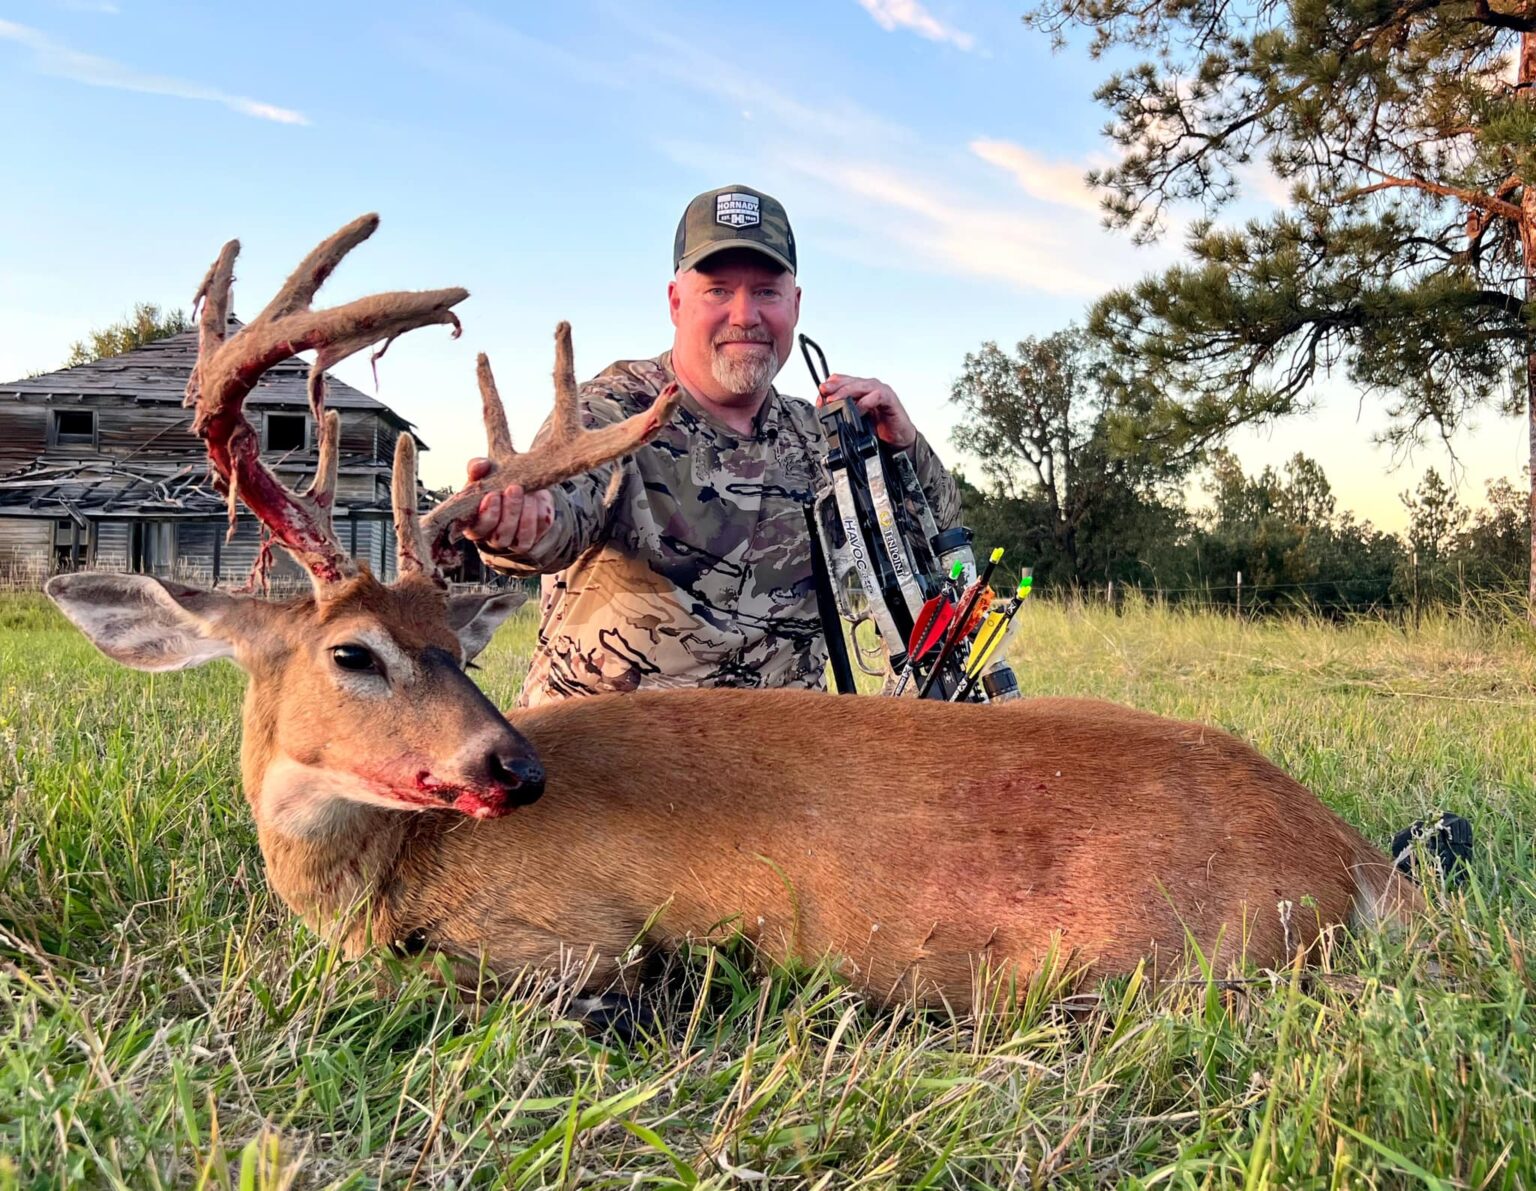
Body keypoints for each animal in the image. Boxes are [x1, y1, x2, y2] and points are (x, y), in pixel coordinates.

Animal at [47, 215, 1433, 1020]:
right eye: (357, 651)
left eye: (453, 647)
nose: (515, 767)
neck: (384, 872)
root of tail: (1356, 860)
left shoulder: (568, 940)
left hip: (1159, 957)